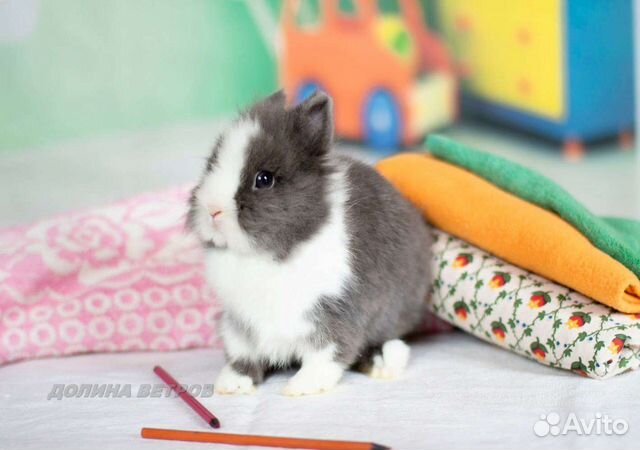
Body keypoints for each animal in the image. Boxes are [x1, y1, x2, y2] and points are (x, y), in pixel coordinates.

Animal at [186, 90, 432, 396]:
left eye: (264, 179)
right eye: (211, 164)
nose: (212, 210)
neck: (263, 256)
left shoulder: (333, 314)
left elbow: (327, 355)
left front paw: (301, 387)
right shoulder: (238, 322)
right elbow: (242, 354)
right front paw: (233, 383)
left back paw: (385, 362)